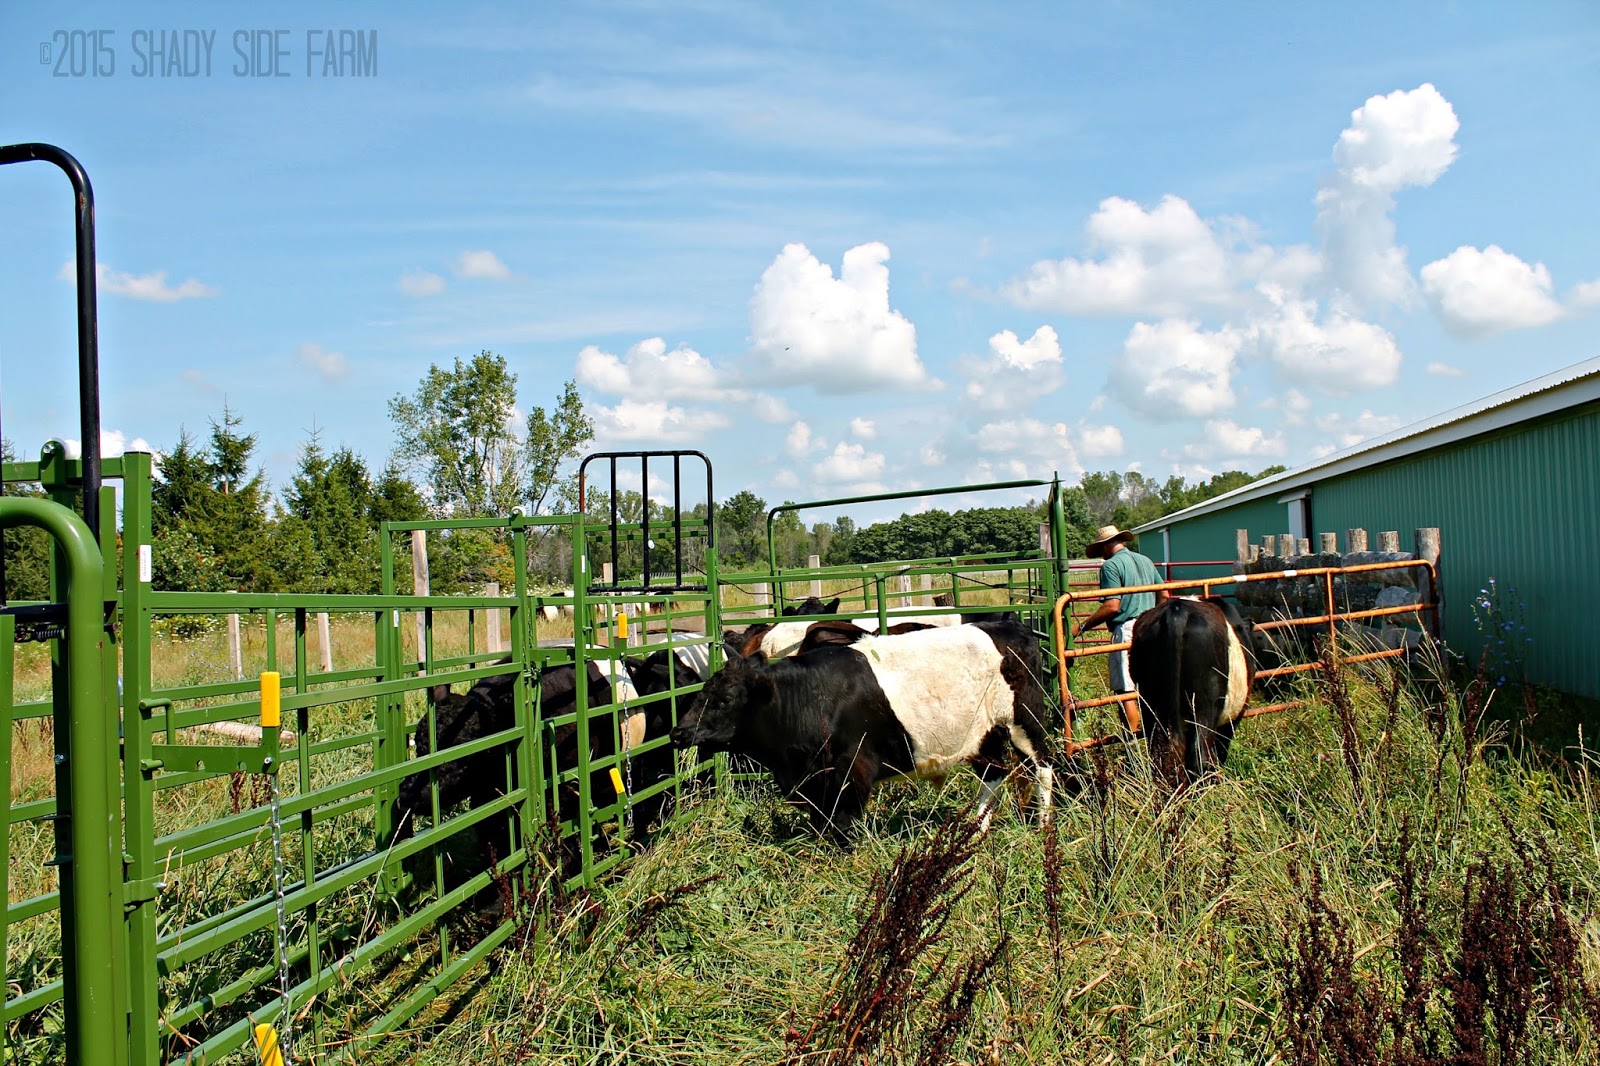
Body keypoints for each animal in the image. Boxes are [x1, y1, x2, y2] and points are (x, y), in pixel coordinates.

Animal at [670, 619, 1054, 839]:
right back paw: (975, 831)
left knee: (1043, 767)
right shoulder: (816, 783)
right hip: (983, 734)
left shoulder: (850, 773)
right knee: (993, 775)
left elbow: (841, 828)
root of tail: (1010, 626)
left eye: (725, 699)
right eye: (701, 692)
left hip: (1024, 721)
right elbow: (821, 826)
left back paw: (1042, 826)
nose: (678, 733)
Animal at [1128, 596, 1256, 786]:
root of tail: (1176, 609)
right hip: (1205, 707)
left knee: (1158, 753)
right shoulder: (1233, 719)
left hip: (1149, 702)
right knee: (1199, 756)